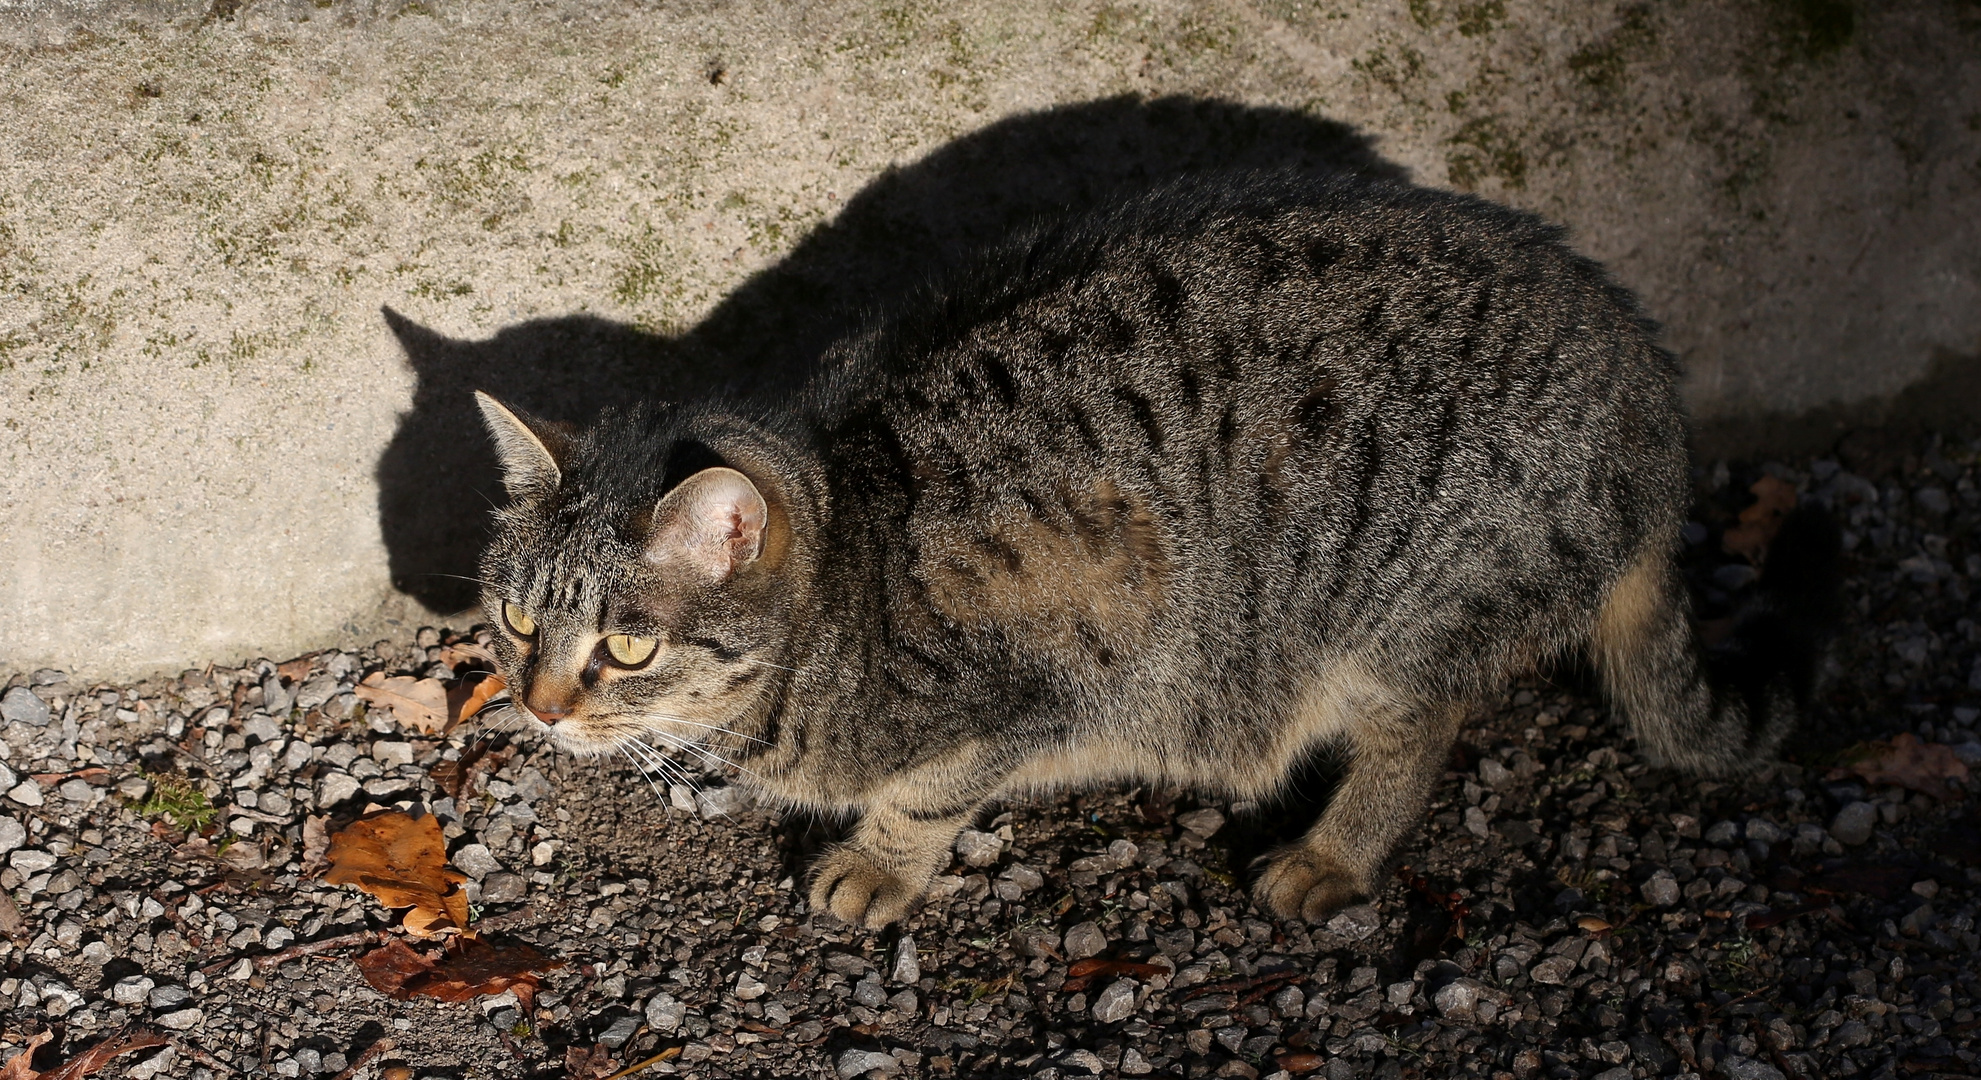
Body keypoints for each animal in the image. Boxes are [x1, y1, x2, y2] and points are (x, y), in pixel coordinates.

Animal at [471, 170, 1830, 927]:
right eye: (518, 620)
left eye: (628, 646)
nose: (536, 707)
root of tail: (1649, 383)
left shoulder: (1039, 691)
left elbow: (925, 796)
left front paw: (878, 865)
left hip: (1400, 608)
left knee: (1420, 725)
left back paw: (1332, 853)